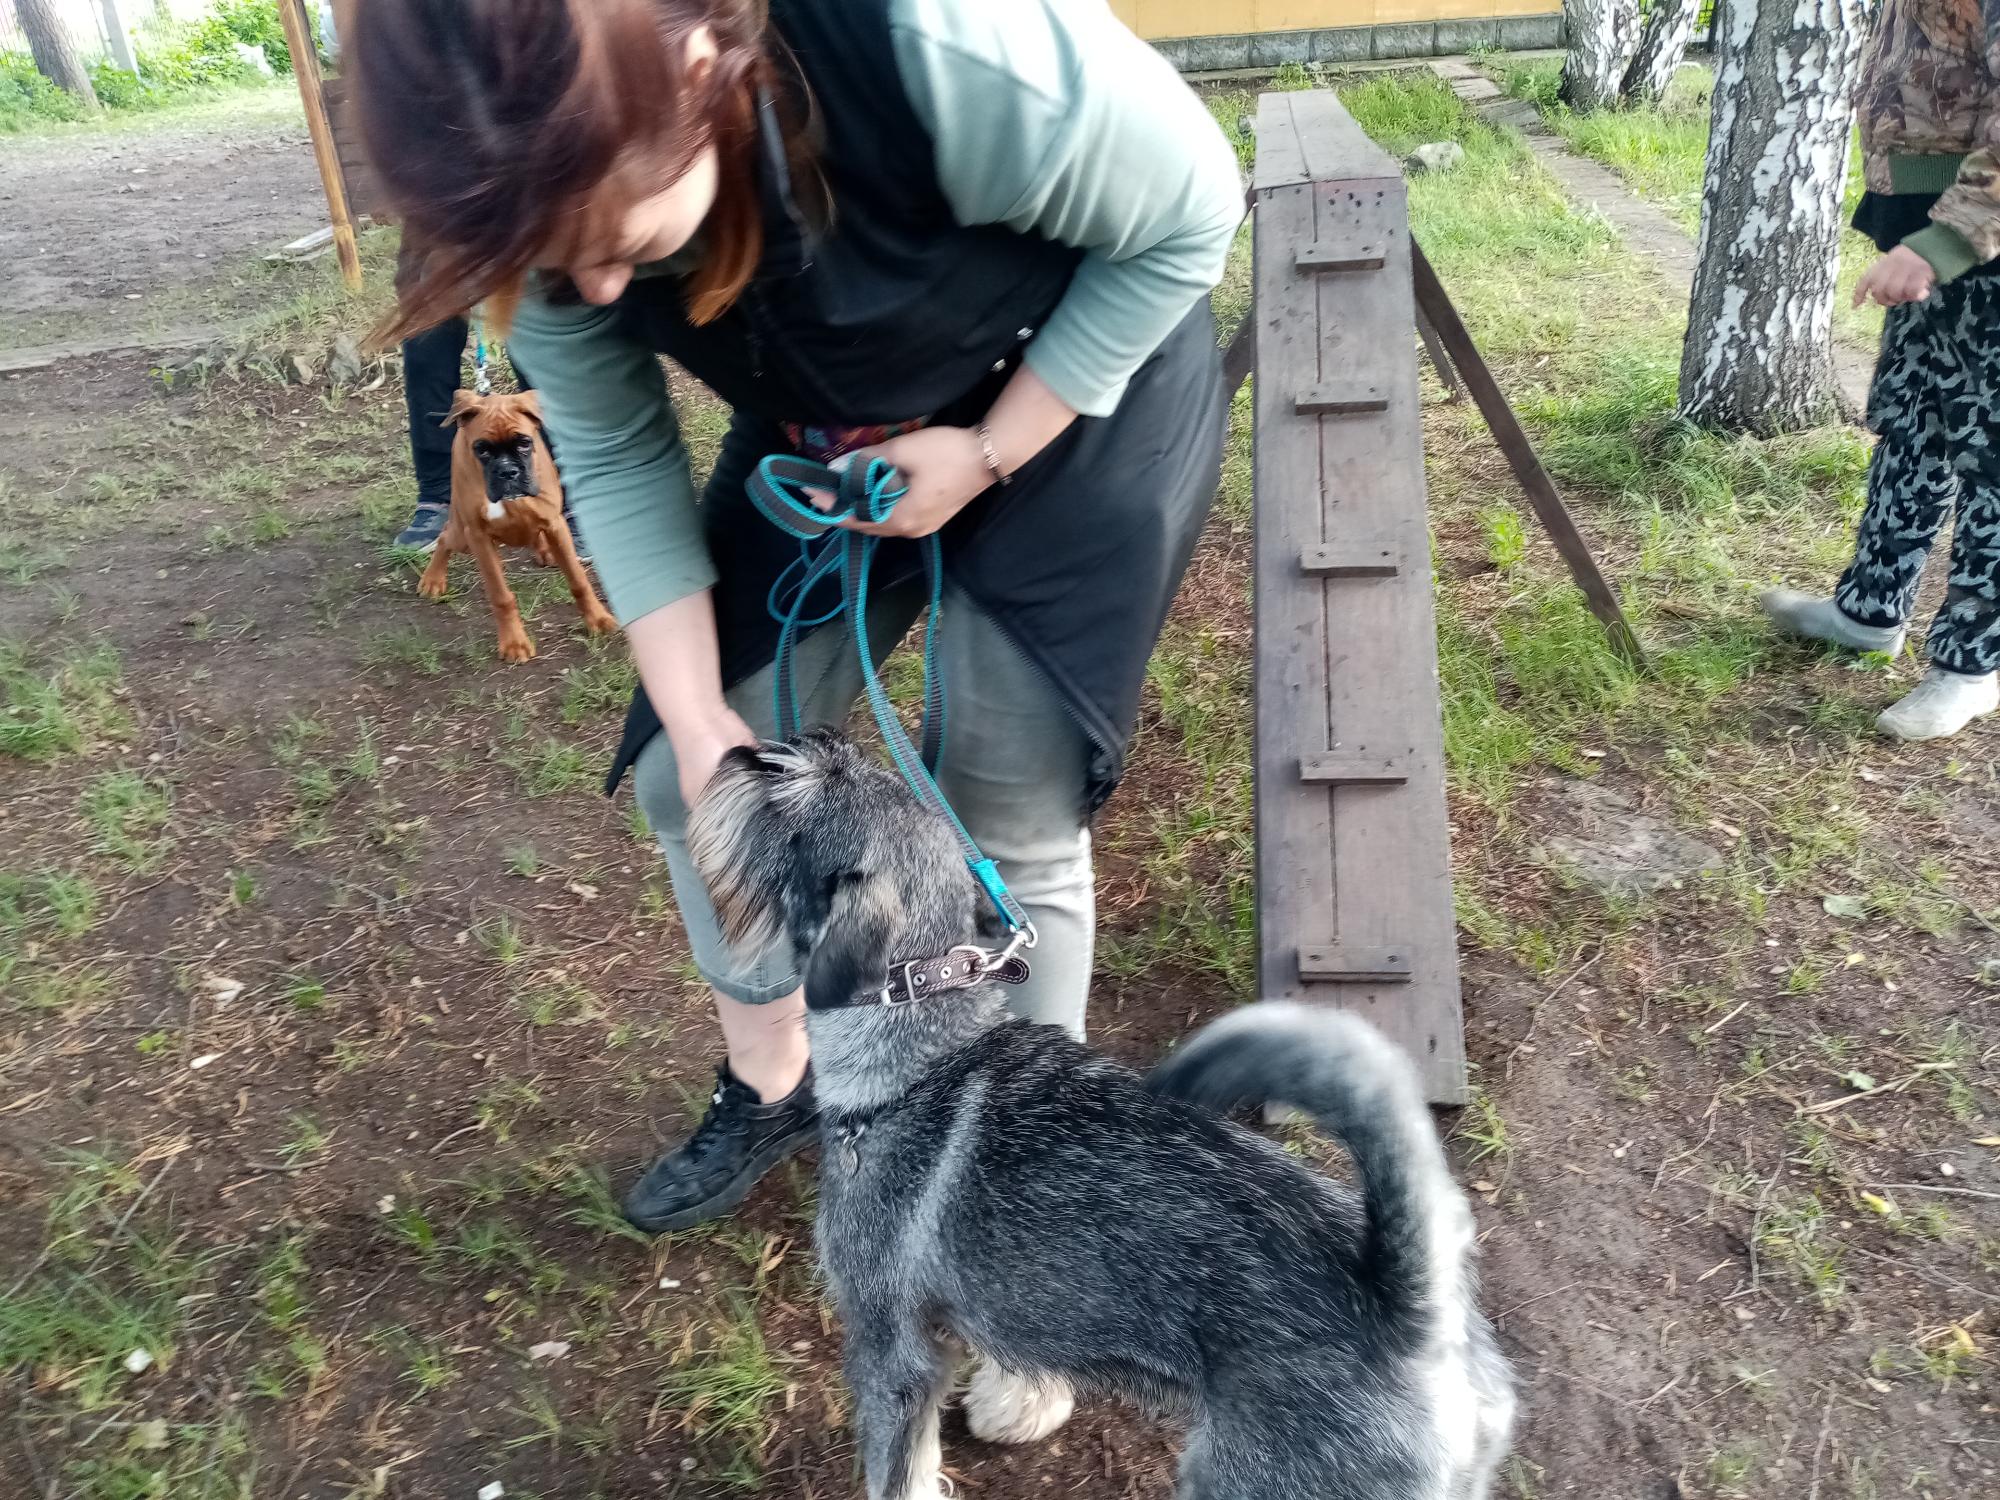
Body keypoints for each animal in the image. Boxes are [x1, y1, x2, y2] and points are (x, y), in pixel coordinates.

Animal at [418, 394, 612, 664]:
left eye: (524, 443)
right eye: (482, 449)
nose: (507, 471)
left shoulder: (555, 524)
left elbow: (578, 580)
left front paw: (598, 618)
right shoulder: (477, 535)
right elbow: (501, 596)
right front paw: (514, 642)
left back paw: (545, 551)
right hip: (462, 537)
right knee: (446, 536)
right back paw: (433, 579)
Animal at [692, 736, 1512, 1496]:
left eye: (796, 805)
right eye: (832, 752)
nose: (739, 752)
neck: (924, 1050)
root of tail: (1411, 1314)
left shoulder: (889, 1349)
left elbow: (898, 1470)